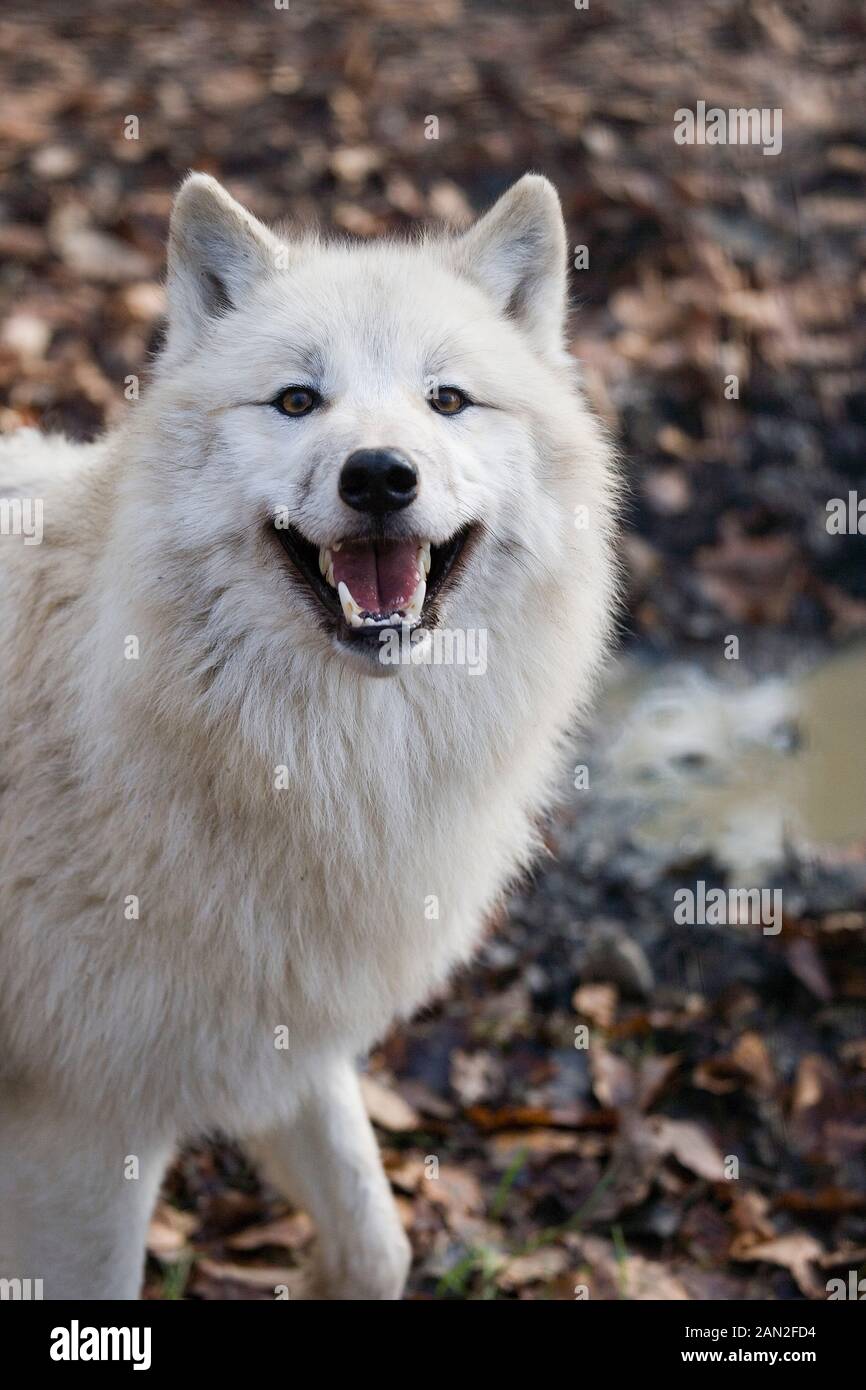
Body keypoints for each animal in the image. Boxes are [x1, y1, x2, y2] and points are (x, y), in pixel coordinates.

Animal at [0, 172, 618, 1299]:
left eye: (446, 399)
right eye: (297, 402)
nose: (378, 475)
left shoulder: (282, 1035)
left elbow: (377, 1243)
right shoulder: (77, 1135)